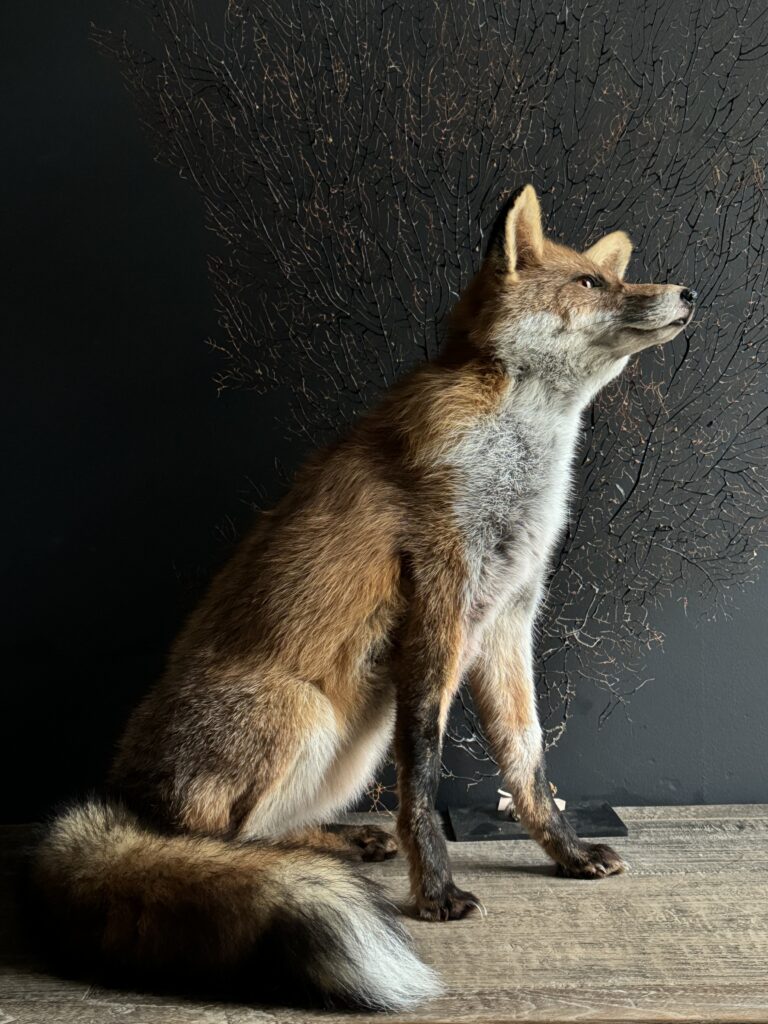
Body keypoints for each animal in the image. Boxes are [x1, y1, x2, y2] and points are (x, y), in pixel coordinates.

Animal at [32, 185, 696, 1011]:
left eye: (612, 278)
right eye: (589, 284)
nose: (687, 294)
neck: (515, 466)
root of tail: (122, 798)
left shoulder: (508, 620)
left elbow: (527, 761)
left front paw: (566, 853)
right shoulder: (440, 604)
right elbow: (424, 778)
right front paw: (436, 892)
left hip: (357, 734)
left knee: (258, 835)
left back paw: (341, 840)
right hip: (302, 711)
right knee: (219, 847)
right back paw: (276, 865)